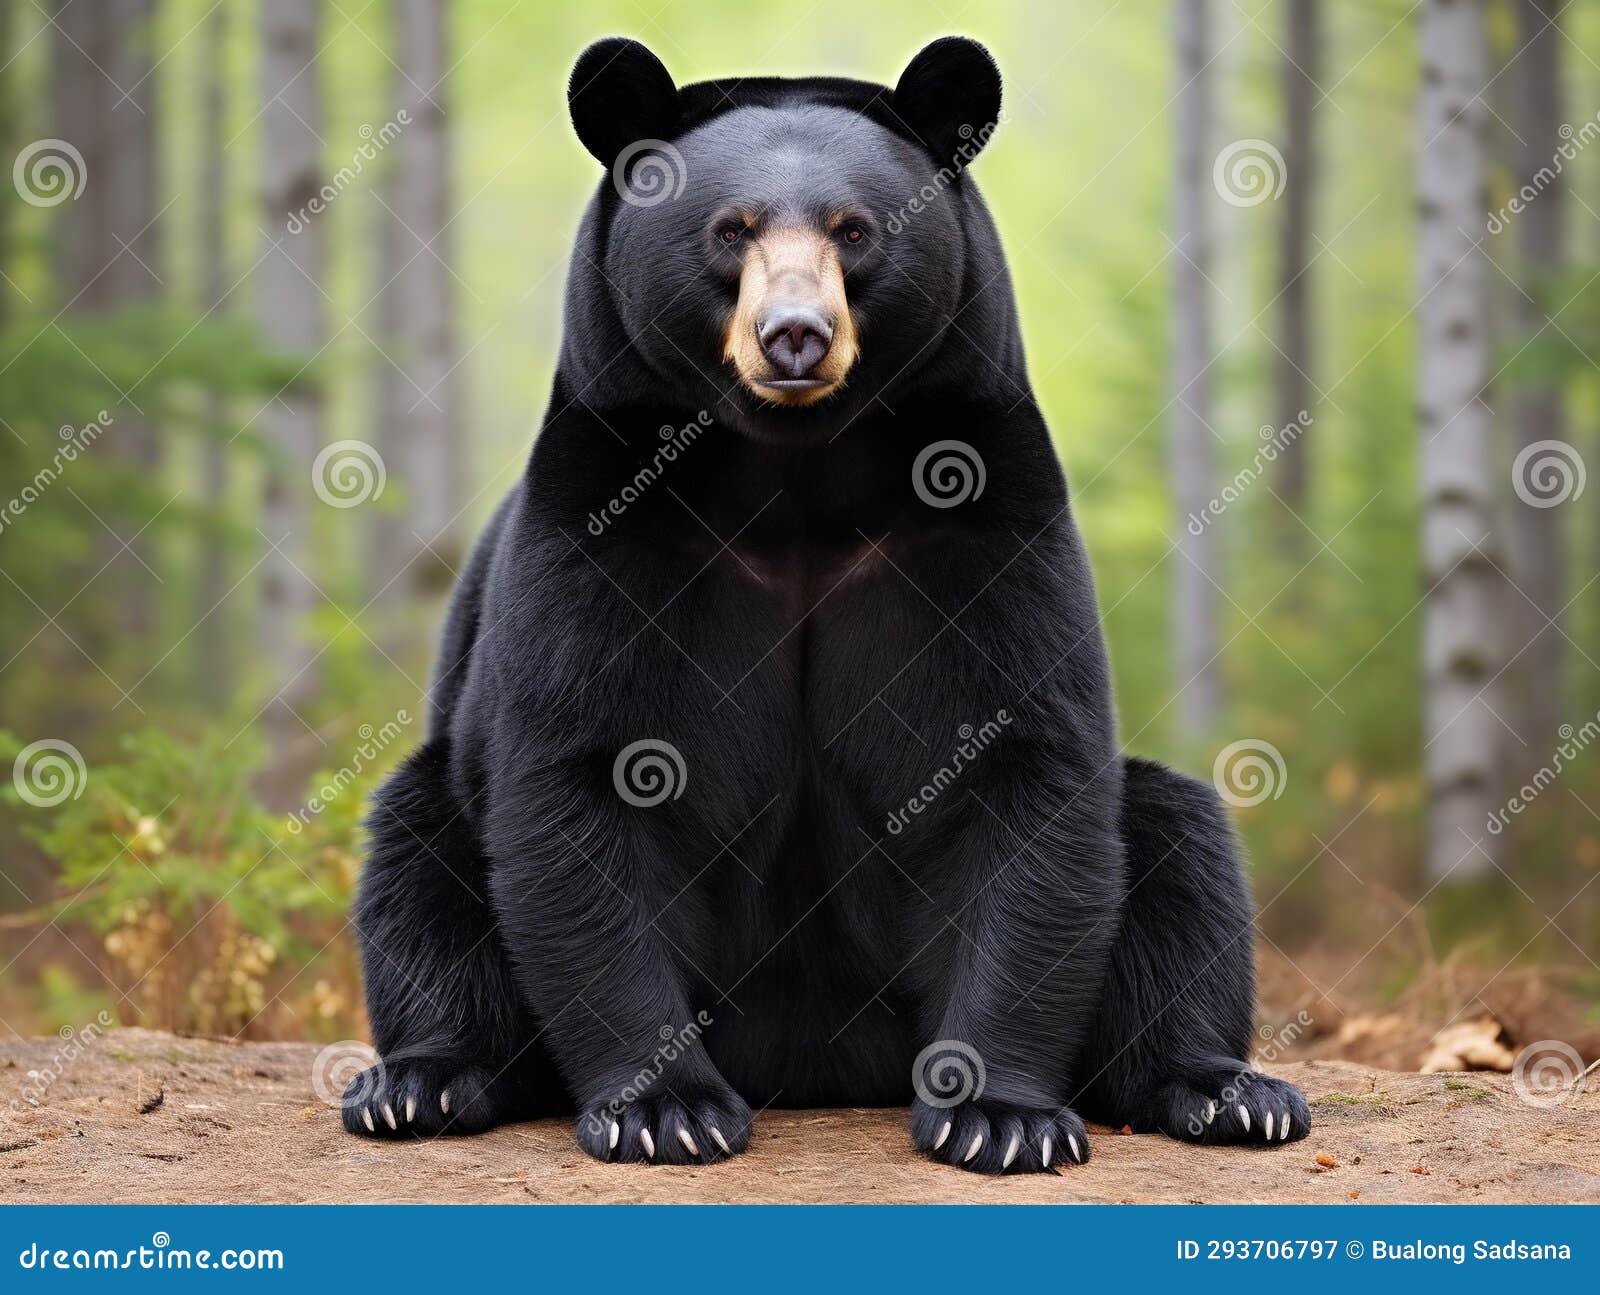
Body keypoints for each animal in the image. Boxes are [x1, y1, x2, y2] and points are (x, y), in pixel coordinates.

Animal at [341, 34, 1310, 1174]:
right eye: (731, 229)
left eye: (854, 229)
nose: (794, 335)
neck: (793, 471)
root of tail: (820, 1069)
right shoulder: (608, 510)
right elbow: (586, 772)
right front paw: (666, 1108)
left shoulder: (978, 508)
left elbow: (1021, 766)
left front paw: (999, 1115)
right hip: (441, 803)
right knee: (417, 867)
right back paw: (421, 1082)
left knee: (1181, 849)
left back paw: (1228, 1089)